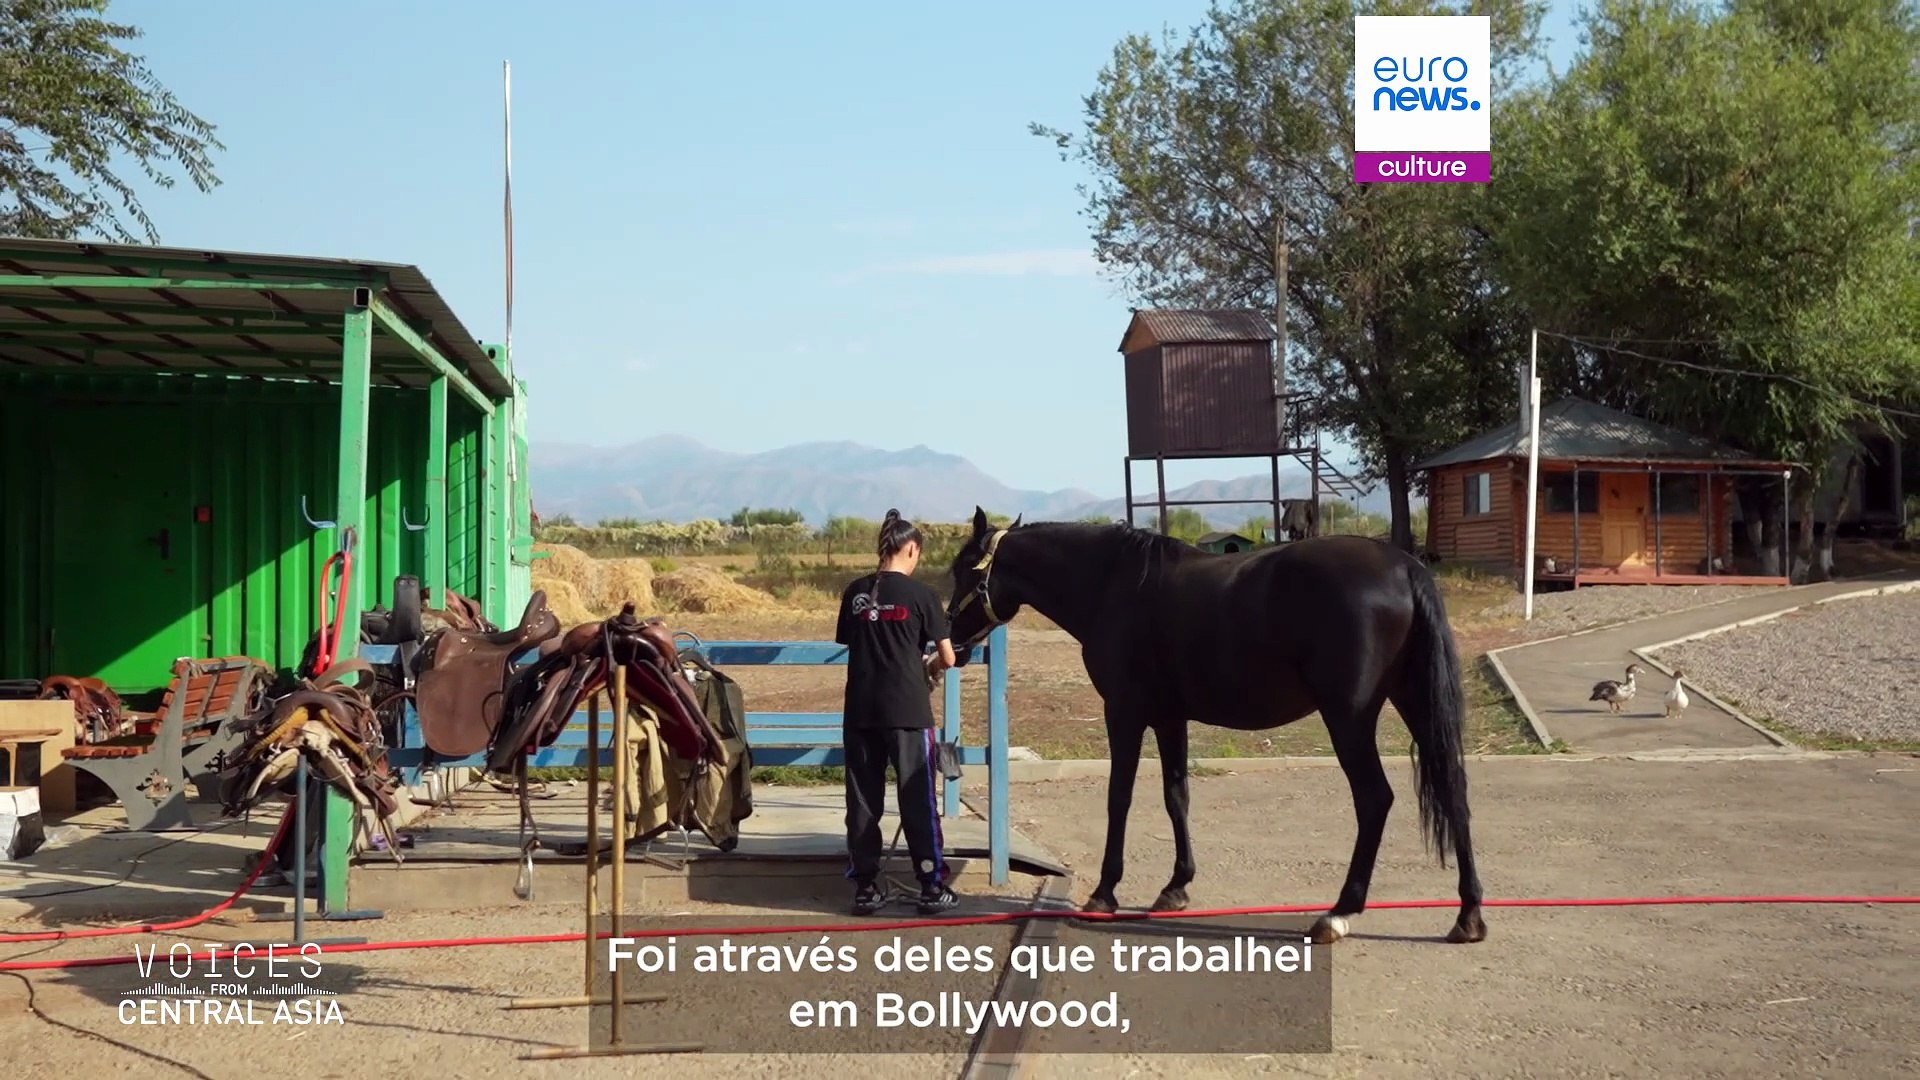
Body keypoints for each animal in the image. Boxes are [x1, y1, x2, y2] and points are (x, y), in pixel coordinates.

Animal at [943, 507, 1485, 945]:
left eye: (962, 569)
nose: (951, 641)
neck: (1112, 586)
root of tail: (1405, 567)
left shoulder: (1125, 712)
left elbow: (1120, 797)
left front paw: (1104, 892)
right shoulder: (1168, 717)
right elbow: (1176, 795)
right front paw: (1175, 887)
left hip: (1348, 716)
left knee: (1374, 799)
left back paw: (1339, 913)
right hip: (1413, 700)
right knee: (1453, 787)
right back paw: (1468, 915)